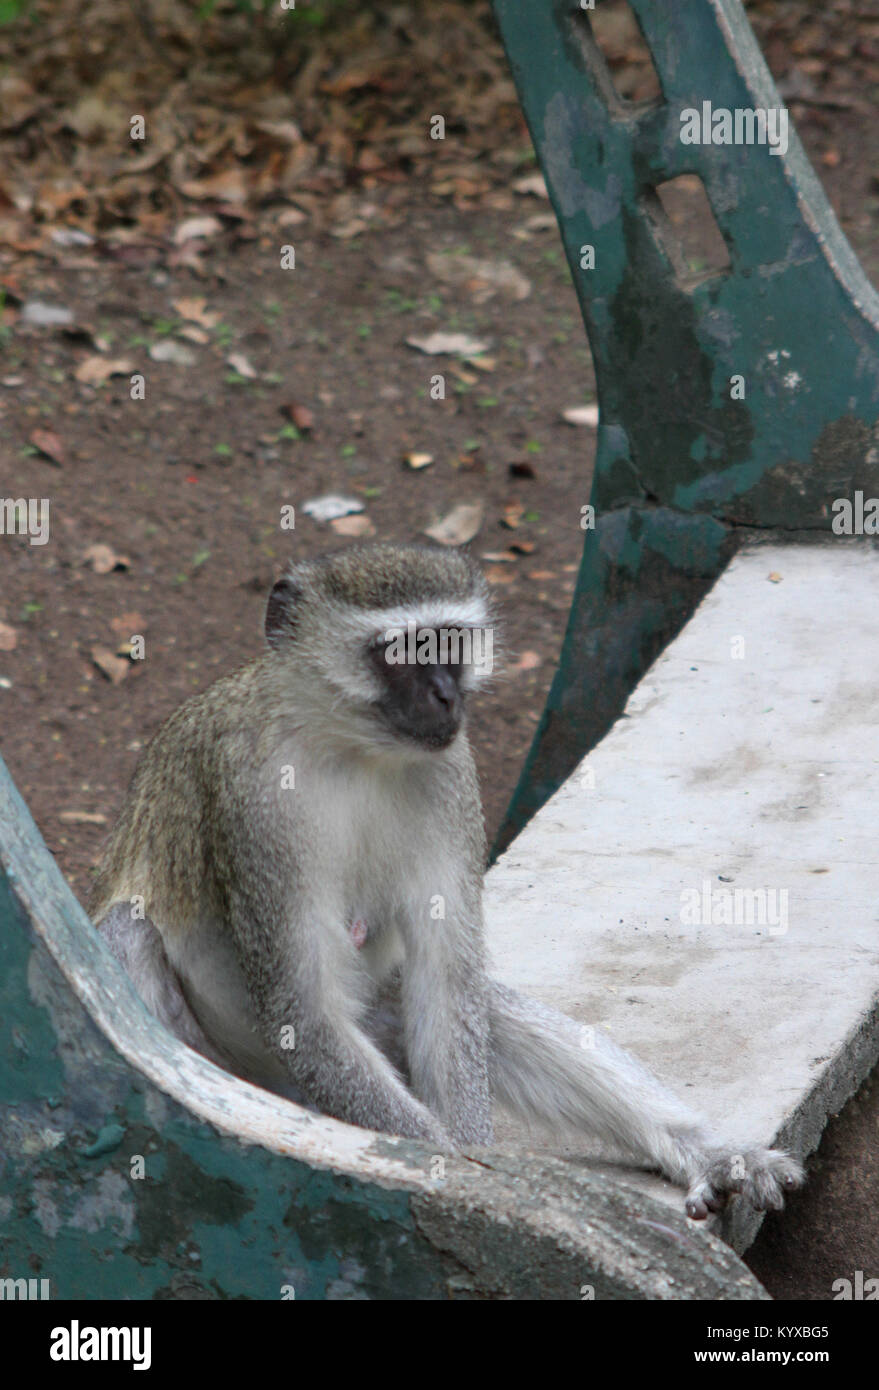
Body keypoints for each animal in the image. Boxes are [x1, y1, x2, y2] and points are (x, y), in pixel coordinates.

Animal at [90, 542, 802, 1220]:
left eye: (449, 643)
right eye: (399, 650)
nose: (445, 695)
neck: (351, 746)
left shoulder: (451, 774)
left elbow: (448, 981)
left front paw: (480, 1164)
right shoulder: (255, 798)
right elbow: (306, 1012)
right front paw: (466, 1175)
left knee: (482, 1006)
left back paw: (703, 1151)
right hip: (255, 1089)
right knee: (127, 933)